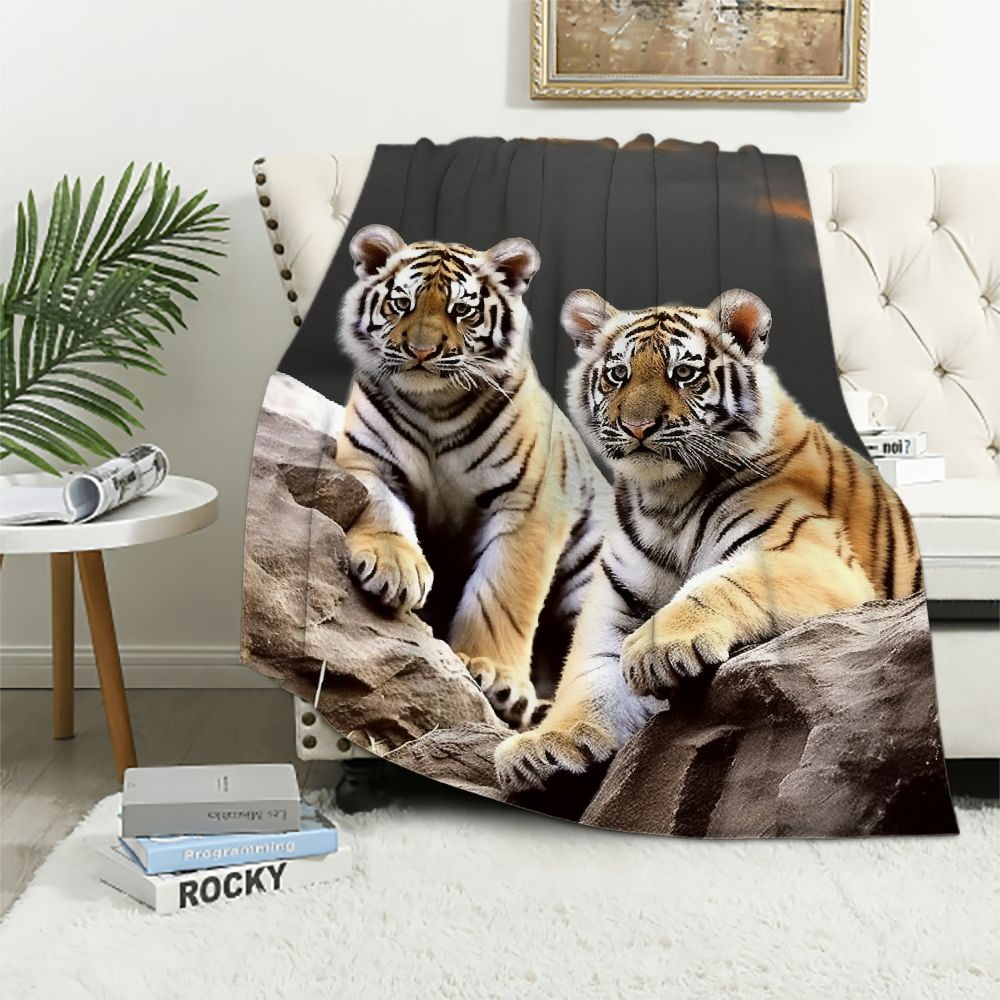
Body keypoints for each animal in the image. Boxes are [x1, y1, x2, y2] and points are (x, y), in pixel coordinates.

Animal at [335, 225, 610, 729]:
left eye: (461, 310)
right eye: (401, 303)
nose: (421, 351)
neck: (434, 405)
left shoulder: (529, 505)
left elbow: (503, 594)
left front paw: (494, 676)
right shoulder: (369, 462)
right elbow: (380, 512)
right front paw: (396, 570)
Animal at [495, 287, 923, 790]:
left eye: (683, 373)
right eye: (618, 374)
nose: (638, 427)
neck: (666, 497)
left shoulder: (804, 552)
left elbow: (718, 584)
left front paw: (657, 650)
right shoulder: (614, 602)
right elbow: (588, 675)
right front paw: (545, 744)